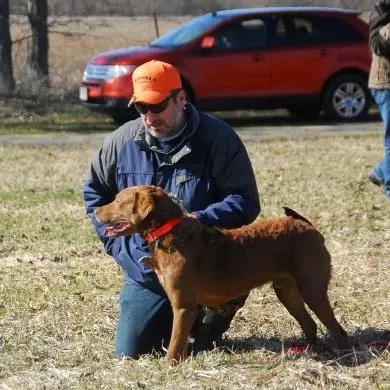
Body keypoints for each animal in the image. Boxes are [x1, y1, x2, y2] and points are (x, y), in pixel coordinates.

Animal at [95, 185, 350, 362]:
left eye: (118, 200)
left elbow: (175, 343)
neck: (169, 232)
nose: (96, 210)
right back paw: (309, 352)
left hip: (312, 289)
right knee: (310, 324)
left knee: (338, 329)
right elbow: (181, 343)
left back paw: (345, 355)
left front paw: (168, 369)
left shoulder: (184, 306)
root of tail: (308, 226)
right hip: (286, 291)